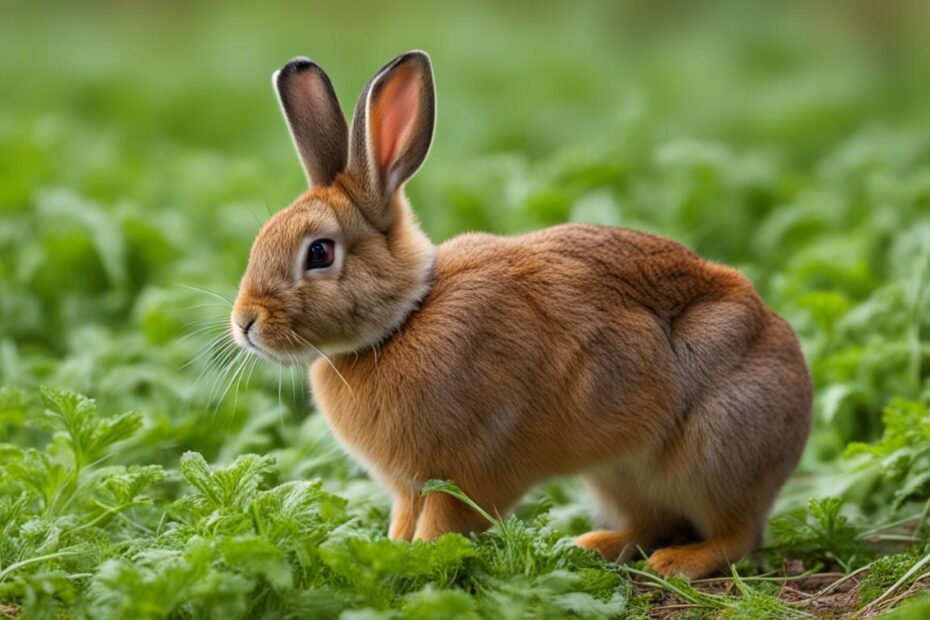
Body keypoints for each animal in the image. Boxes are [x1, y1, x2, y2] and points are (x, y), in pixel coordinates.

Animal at [230, 50, 812, 579]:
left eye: (319, 253)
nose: (245, 323)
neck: (404, 320)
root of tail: (798, 405)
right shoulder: (410, 487)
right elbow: (404, 523)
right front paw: (392, 554)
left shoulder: (467, 472)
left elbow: (442, 527)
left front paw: (420, 565)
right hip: (617, 474)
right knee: (655, 522)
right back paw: (591, 546)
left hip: (717, 450)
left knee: (734, 533)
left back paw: (677, 563)